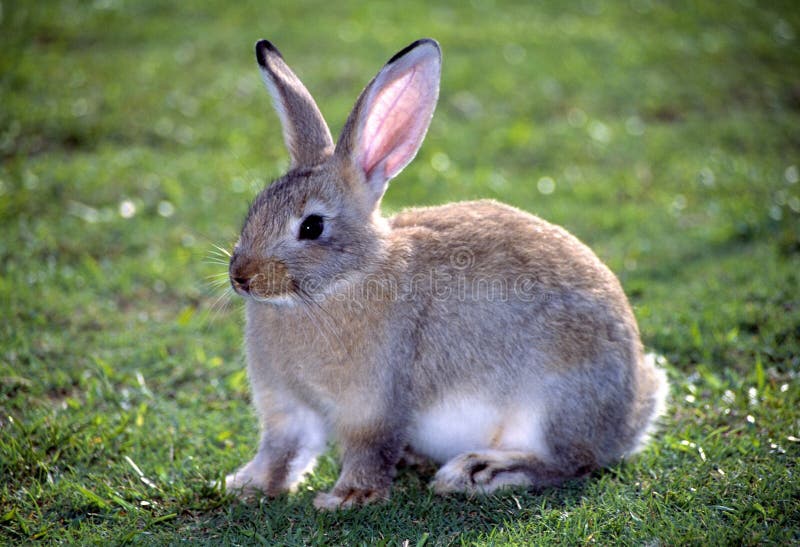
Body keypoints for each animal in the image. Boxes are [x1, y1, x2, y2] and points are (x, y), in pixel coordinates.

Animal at [223, 37, 668, 510]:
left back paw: (476, 471)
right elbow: (281, 451)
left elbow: (368, 451)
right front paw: (246, 485)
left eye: (311, 227)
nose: (241, 276)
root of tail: (632, 414)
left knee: (572, 462)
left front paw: (346, 498)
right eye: (255, 207)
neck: (340, 282)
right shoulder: (288, 408)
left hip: (553, 402)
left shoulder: (375, 405)